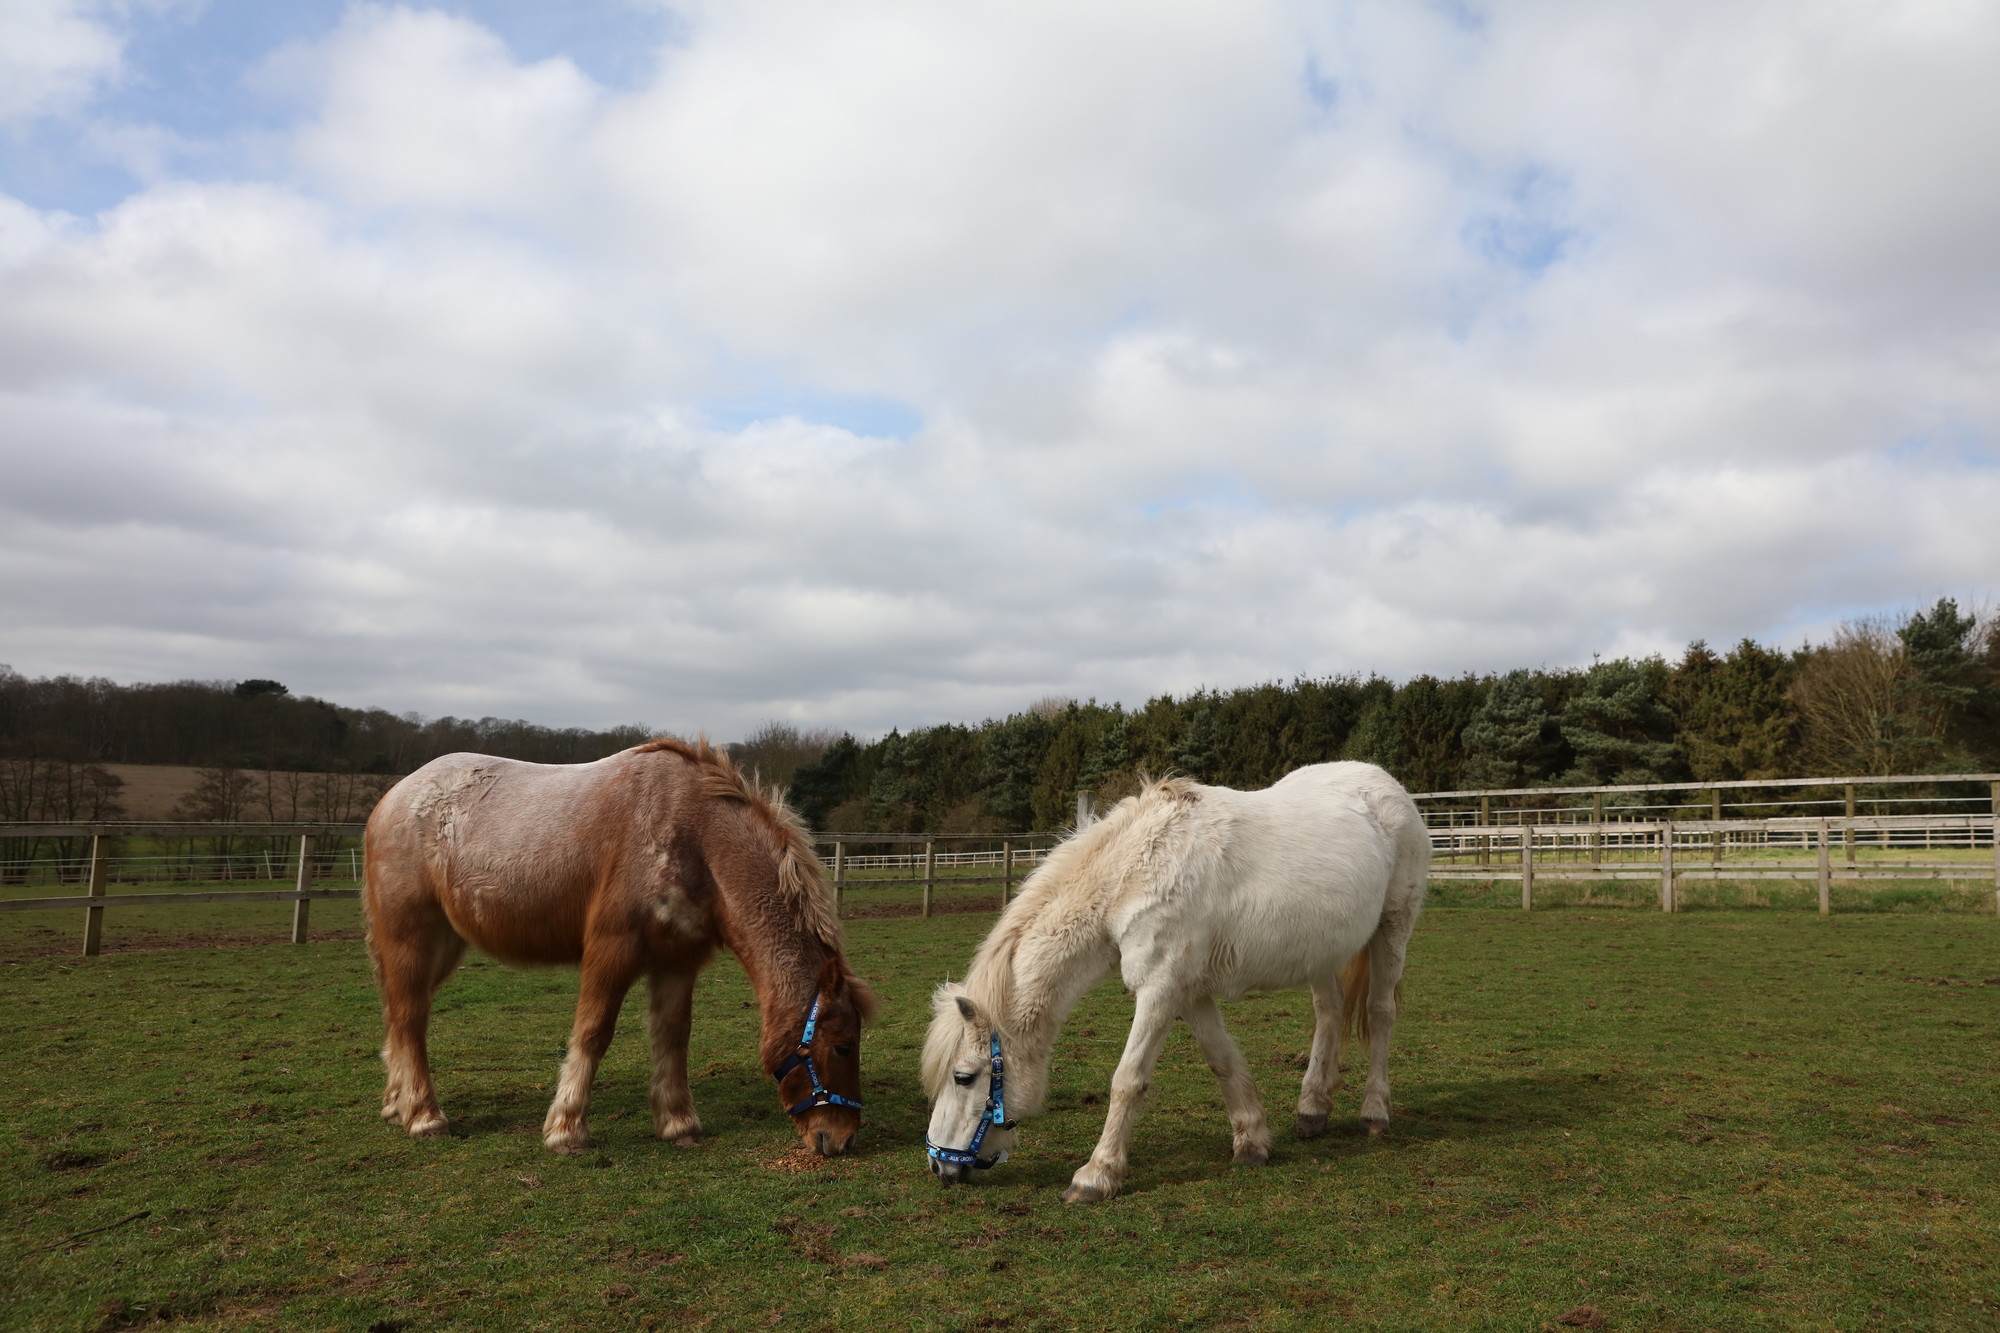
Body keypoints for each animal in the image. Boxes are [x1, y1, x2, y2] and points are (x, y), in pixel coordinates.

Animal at [363, 736, 875, 1158]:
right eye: (844, 1046)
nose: (842, 1139)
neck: (693, 833)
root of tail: (392, 800)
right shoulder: (612, 949)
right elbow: (593, 1032)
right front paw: (567, 1129)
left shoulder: (678, 960)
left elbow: (673, 1035)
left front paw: (678, 1124)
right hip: (412, 937)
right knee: (410, 1018)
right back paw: (425, 1117)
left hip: (443, 946)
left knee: (397, 1014)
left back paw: (396, 1104)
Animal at [921, 761, 1427, 1203]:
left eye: (963, 1077)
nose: (940, 1166)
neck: (1134, 874)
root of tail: (1385, 783)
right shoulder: (1190, 991)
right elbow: (1223, 1062)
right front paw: (1252, 1143)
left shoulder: (1160, 990)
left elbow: (1128, 1080)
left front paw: (1096, 1176)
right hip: (1321, 952)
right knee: (1330, 1012)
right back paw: (1312, 1110)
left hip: (1393, 928)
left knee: (1380, 1014)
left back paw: (1374, 1113)